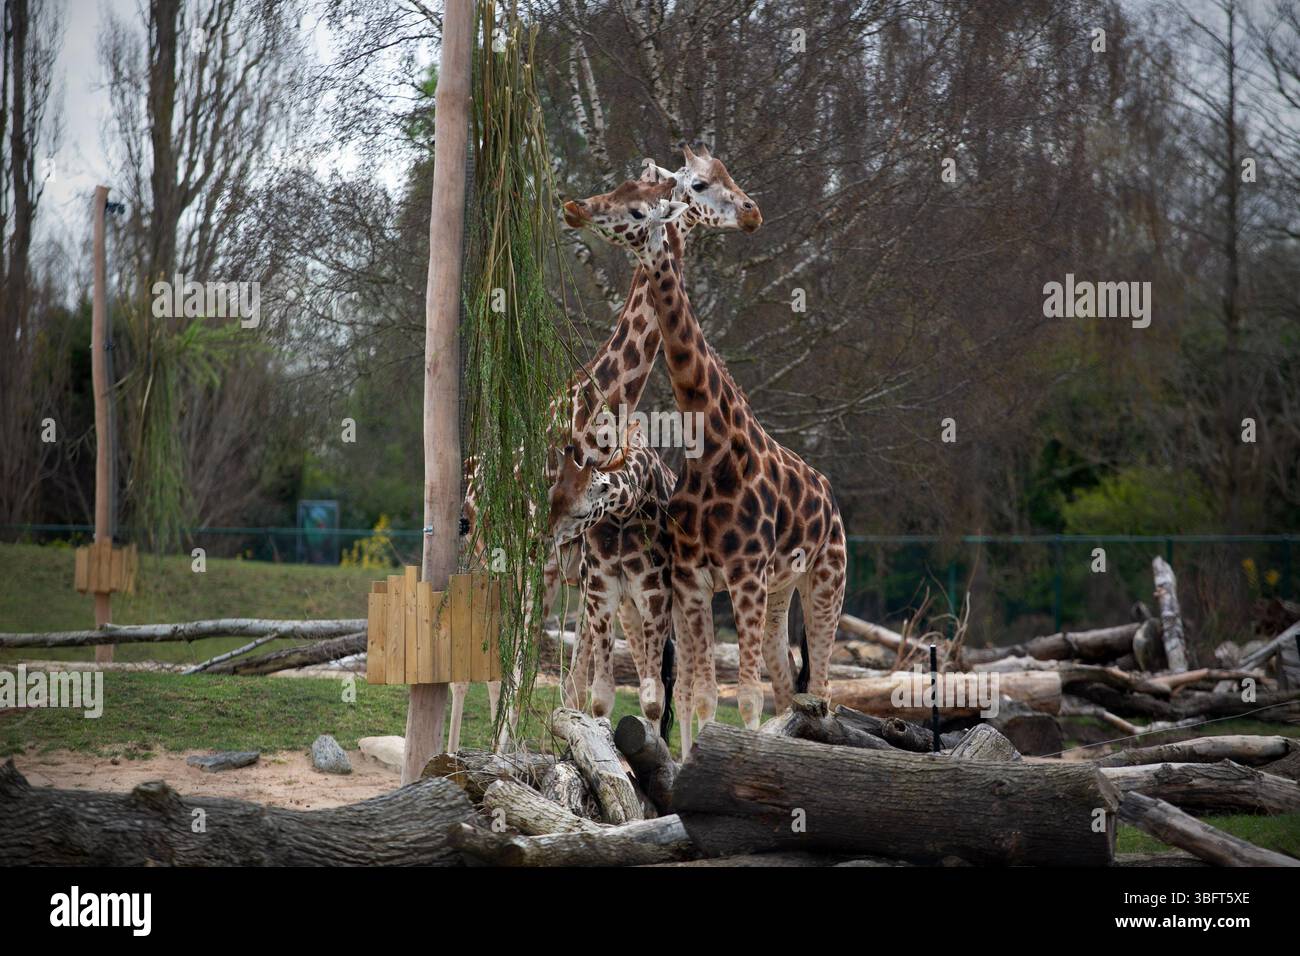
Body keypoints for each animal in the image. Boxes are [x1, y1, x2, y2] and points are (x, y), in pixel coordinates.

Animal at [445, 148, 762, 750]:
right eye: (702, 184)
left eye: (725, 178)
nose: (752, 211)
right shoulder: (538, 556)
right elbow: (515, 668)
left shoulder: (573, 567)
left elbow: (565, 679)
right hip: (478, 563)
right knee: (467, 671)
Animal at [562, 183, 847, 755]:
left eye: (635, 207)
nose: (574, 207)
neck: (714, 450)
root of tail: (829, 495)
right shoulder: (684, 583)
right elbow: (699, 697)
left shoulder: (737, 578)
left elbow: (737, 698)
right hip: (775, 592)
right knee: (786, 687)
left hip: (823, 580)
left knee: (818, 688)